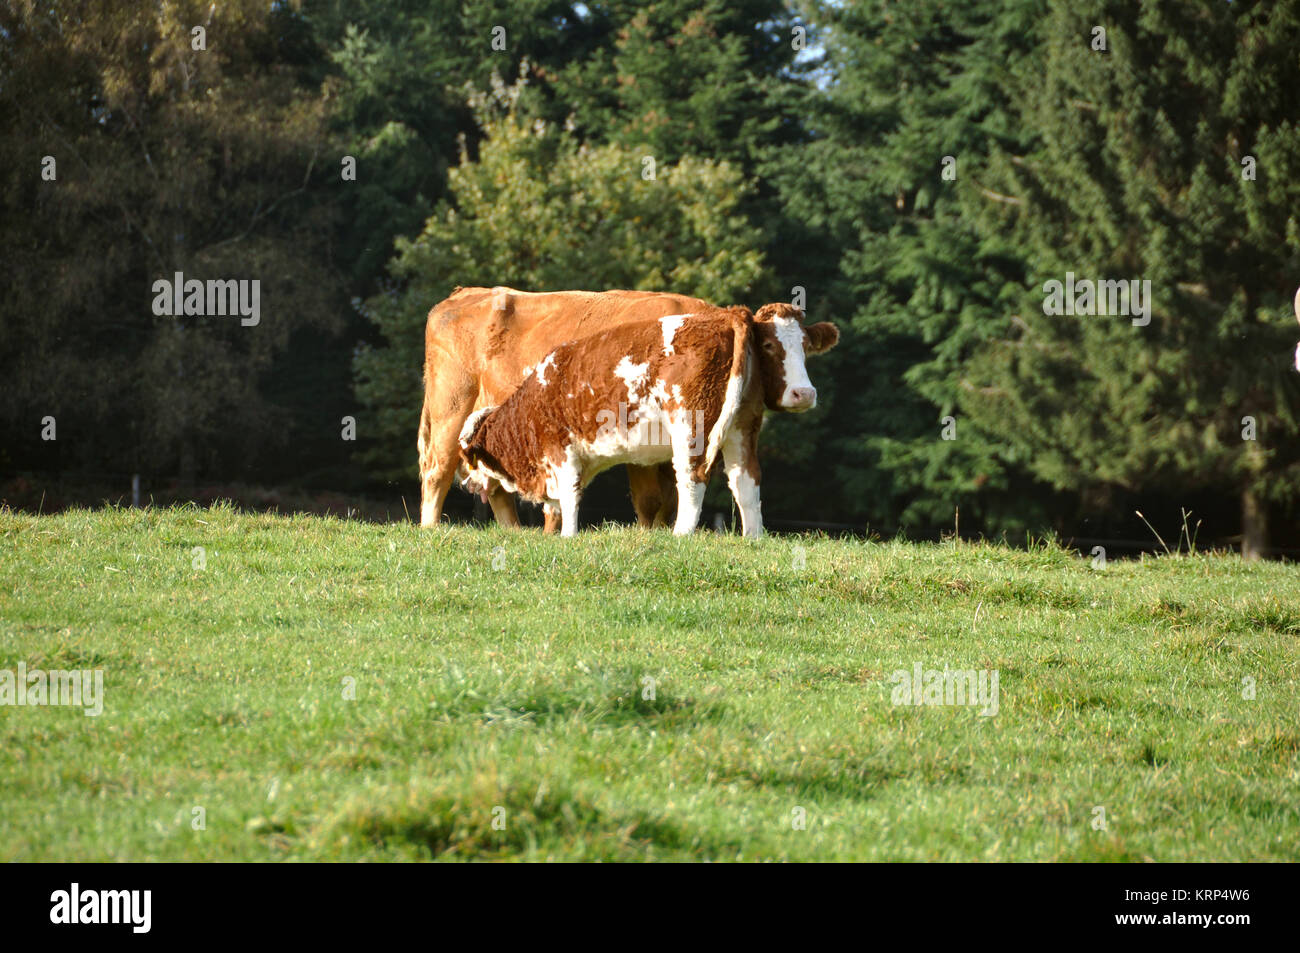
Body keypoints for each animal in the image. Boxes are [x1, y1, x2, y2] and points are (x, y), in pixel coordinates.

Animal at [418, 287, 713, 531]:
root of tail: (465, 292)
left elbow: (669, 500)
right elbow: (649, 499)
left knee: (495, 489)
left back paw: (513, 532)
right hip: (452, 409)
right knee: (437, 471)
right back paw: (430, 528)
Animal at [458, 303, 840, 538]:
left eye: (470, 459)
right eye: (773, 346)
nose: (466, 483)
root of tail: (728, 316)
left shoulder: (561, 449)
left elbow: (569, 497)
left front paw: (567, 537)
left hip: (692, 424)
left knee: (693, 478)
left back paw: (681, 535)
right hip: (741, 428)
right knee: (746, 480)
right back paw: (753, 538)